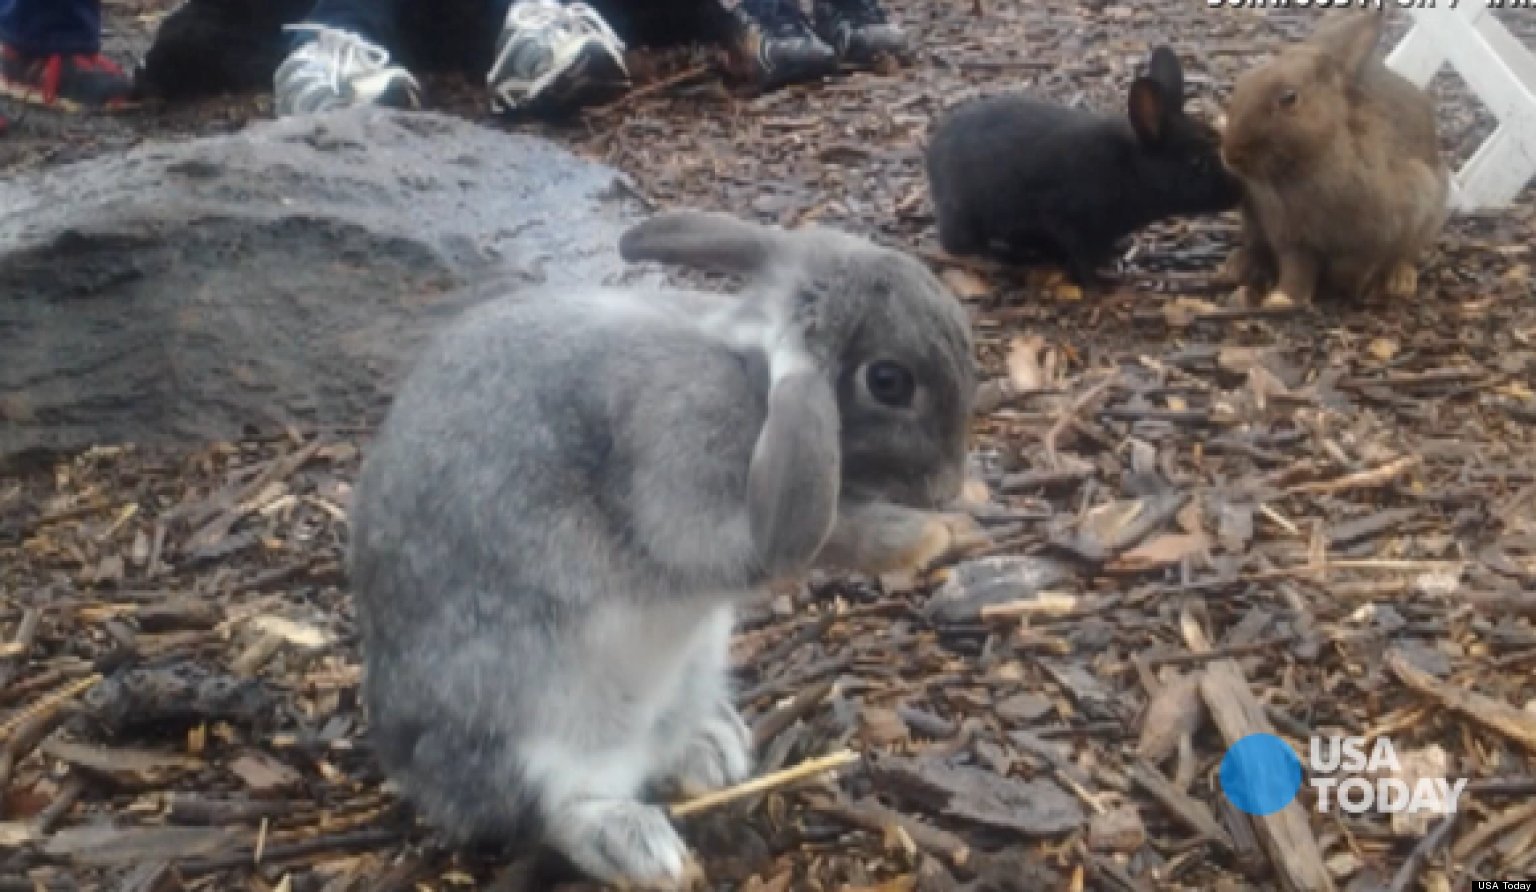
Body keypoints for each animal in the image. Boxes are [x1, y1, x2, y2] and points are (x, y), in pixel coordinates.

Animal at [346, 209, 981, 889]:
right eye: (888, 381)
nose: (946, 487)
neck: (751, 374)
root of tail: (407, 764)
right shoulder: (677, 470)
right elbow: (789, 539)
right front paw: (925, 539)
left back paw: (716, 747)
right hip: (534, 723)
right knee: (555, 808)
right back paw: (642, 848)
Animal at [924, 45, 1242, 288]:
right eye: (1196, 162)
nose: (1238, 190)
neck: (1129, 167)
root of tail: (932, 155)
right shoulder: (1071, 223)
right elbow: (1082, 261)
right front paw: (1099, 284)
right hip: (966, 218)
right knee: (956, 246)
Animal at [1217, 11, 1449, 305]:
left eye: (1289, 98)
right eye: (1243, 82)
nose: (1231, 155)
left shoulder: (1378, 234)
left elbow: (1355, 266)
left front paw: (1356, 288)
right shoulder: (1293, 237)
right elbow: (1297, 269)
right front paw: (1283, 299)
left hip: (1428, 211)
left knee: (1406, 254)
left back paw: (1399, 282)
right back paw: (1237, 267)